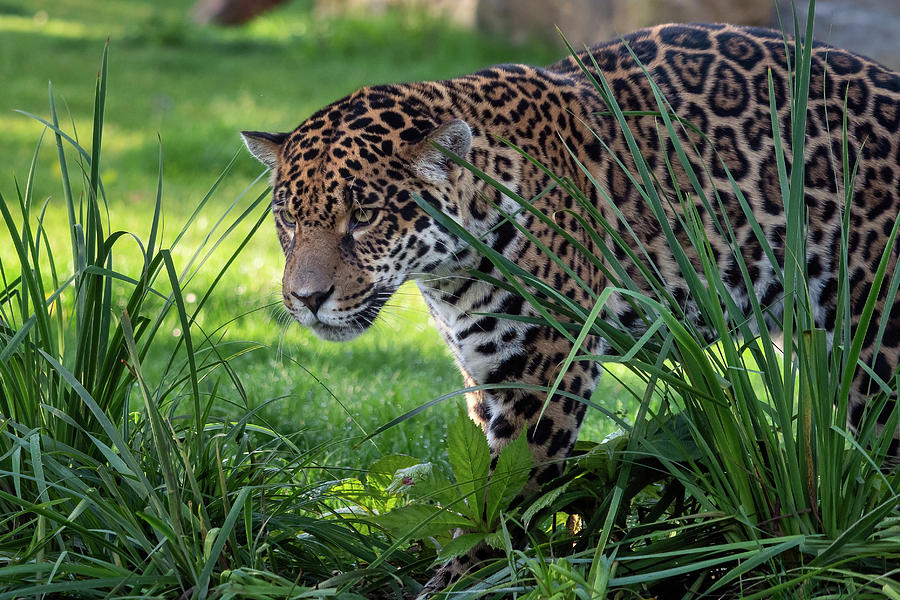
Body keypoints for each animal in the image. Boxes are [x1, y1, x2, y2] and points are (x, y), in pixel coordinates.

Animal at [242, 22, 900, 596]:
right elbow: (478, 491)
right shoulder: (483, 370)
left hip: (878, 348)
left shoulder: (543, 370)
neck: (451, 270)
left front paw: (456, 583)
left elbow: (500, 500)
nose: (305, 300)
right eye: (289, 218)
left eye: (364, 217)